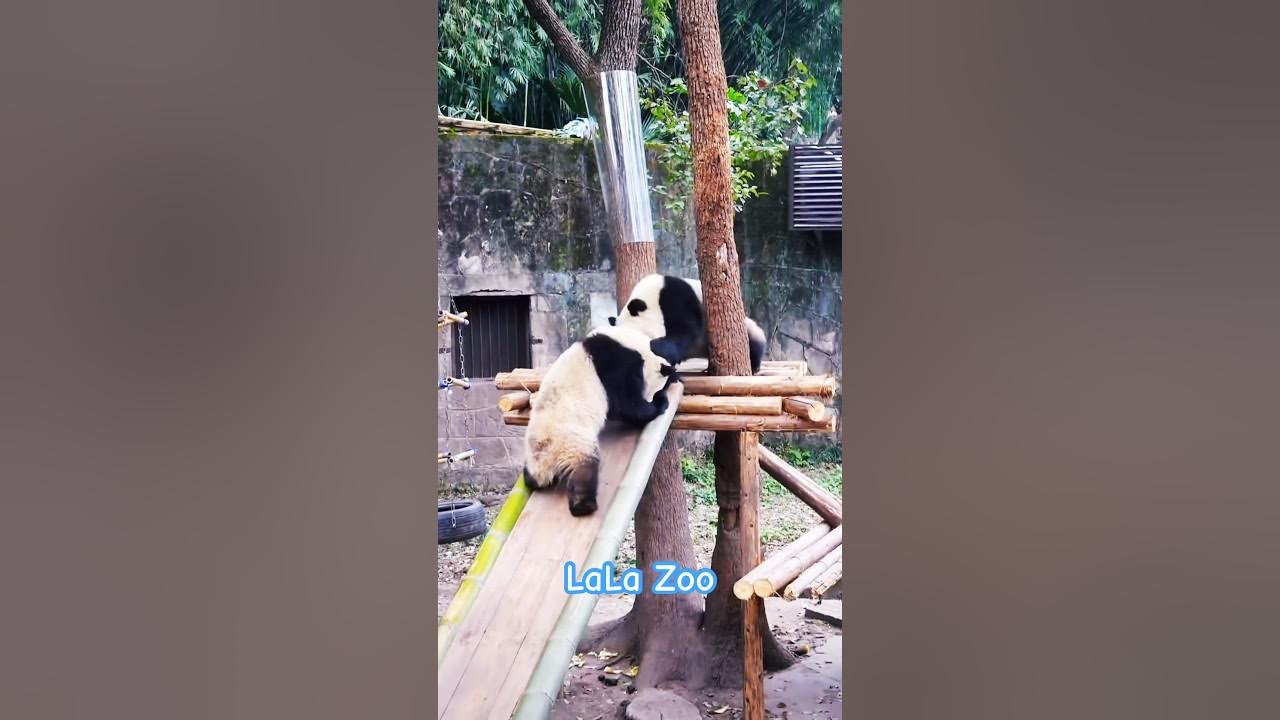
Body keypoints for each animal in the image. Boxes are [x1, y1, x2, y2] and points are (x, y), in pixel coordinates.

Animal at [522, 324, 676, 517]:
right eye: (653, 391)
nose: (653, 396)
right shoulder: (618, 367)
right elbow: (626, 404)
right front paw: (658, 403)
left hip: (535, 455)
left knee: (532, 476)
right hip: (573, 441)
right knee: (584, 470)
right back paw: (584, 505)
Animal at [612, 274, 768, 373]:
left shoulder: (676, 297)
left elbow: (686, 330)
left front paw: (659, 348)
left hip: (746, 327)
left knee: (754, 340)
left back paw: (754, 365)